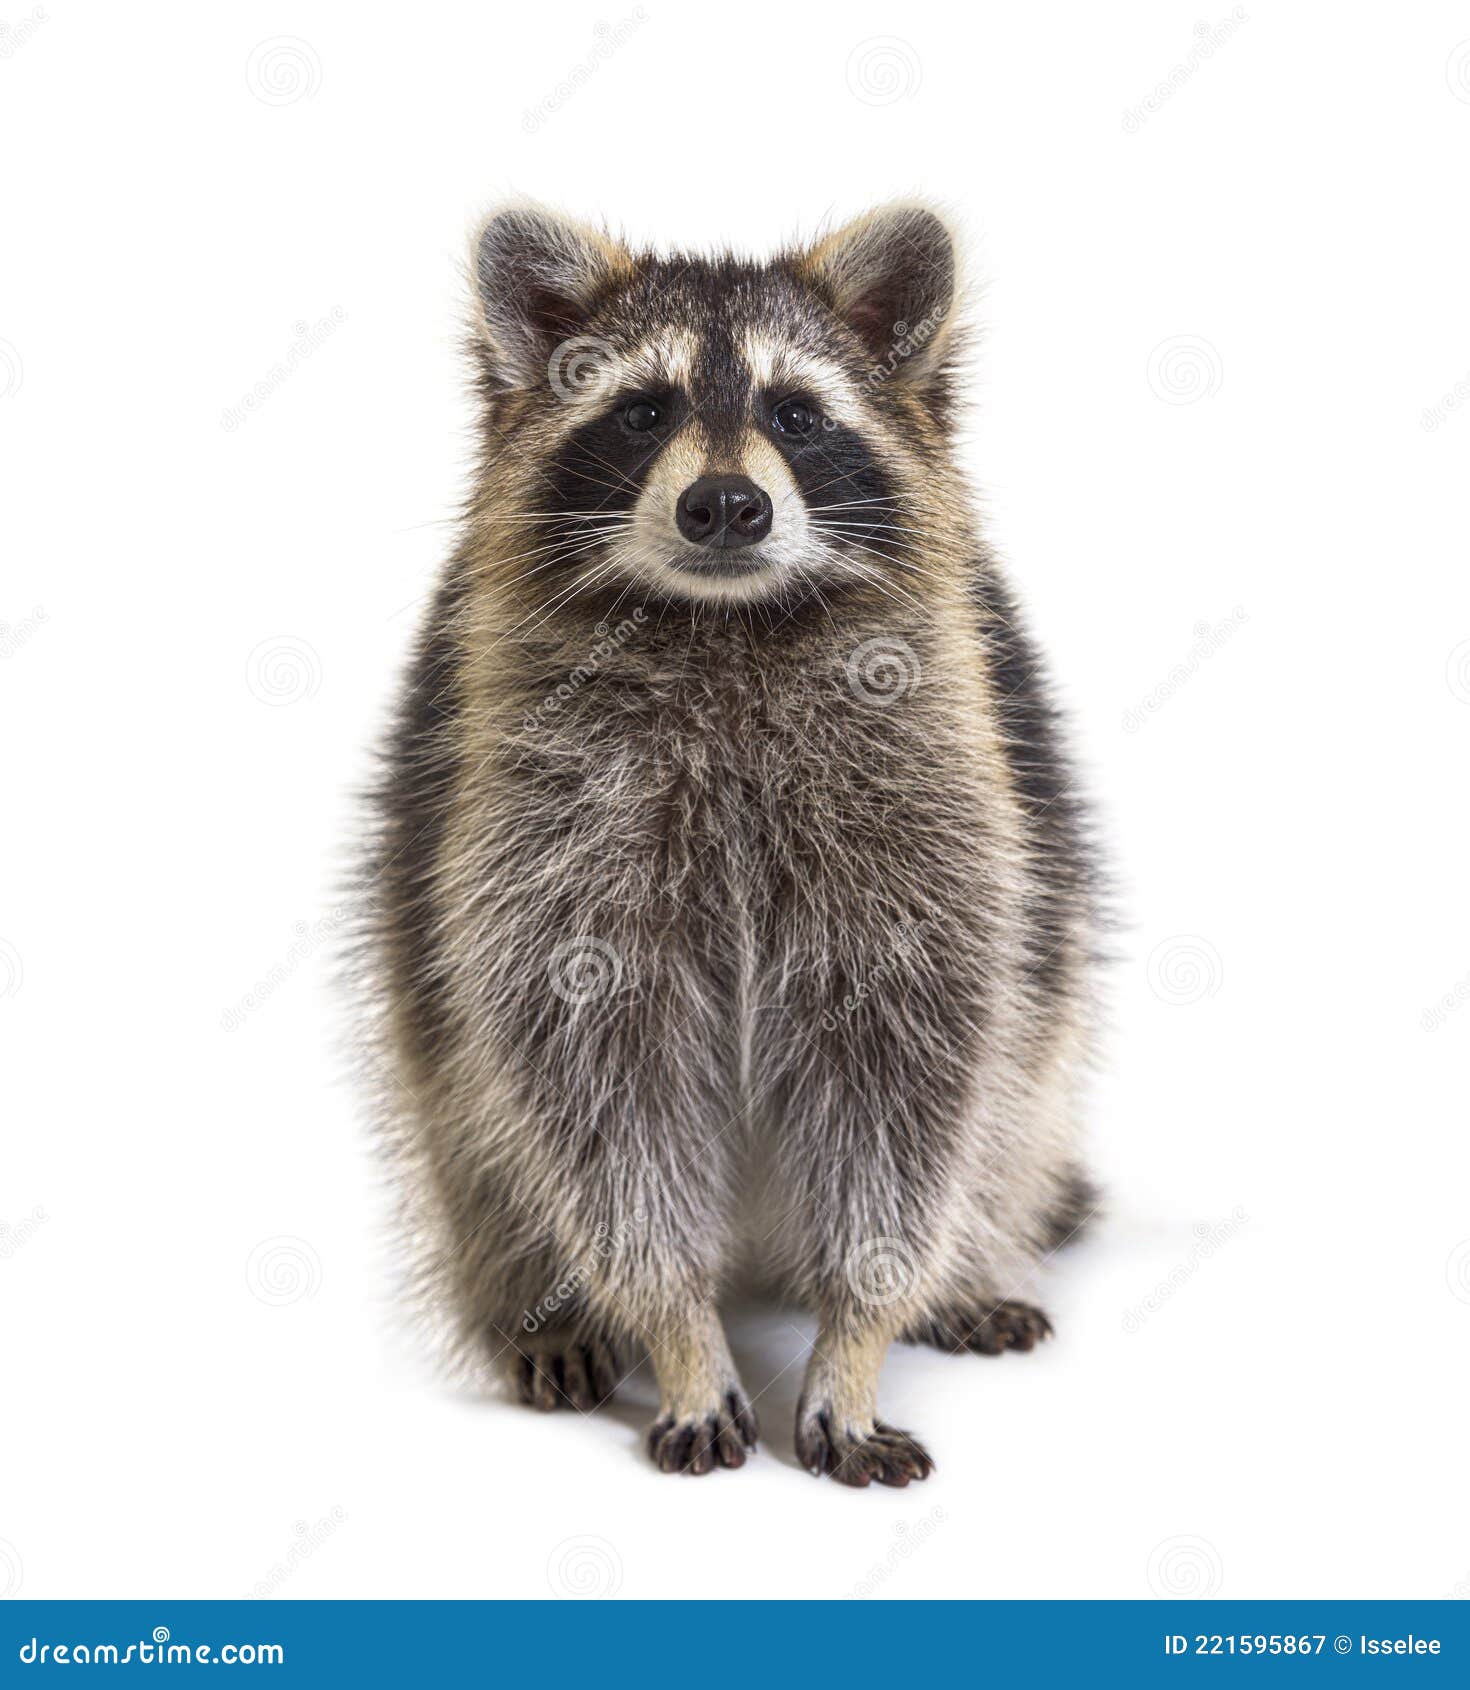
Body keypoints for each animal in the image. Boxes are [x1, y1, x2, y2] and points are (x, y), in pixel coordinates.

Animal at [361, 201, 1100, 1486]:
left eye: (796, 413)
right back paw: (535, 1306)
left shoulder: (934, 804)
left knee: (1010, 1093)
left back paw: (970, 1260)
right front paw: (678, 1329)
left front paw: (860, 1332)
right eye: (643, 410)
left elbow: (912, 1086)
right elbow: (600, 1097)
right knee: (467, 1126)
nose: (723, 504)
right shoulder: (541, 832)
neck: (725, 624)